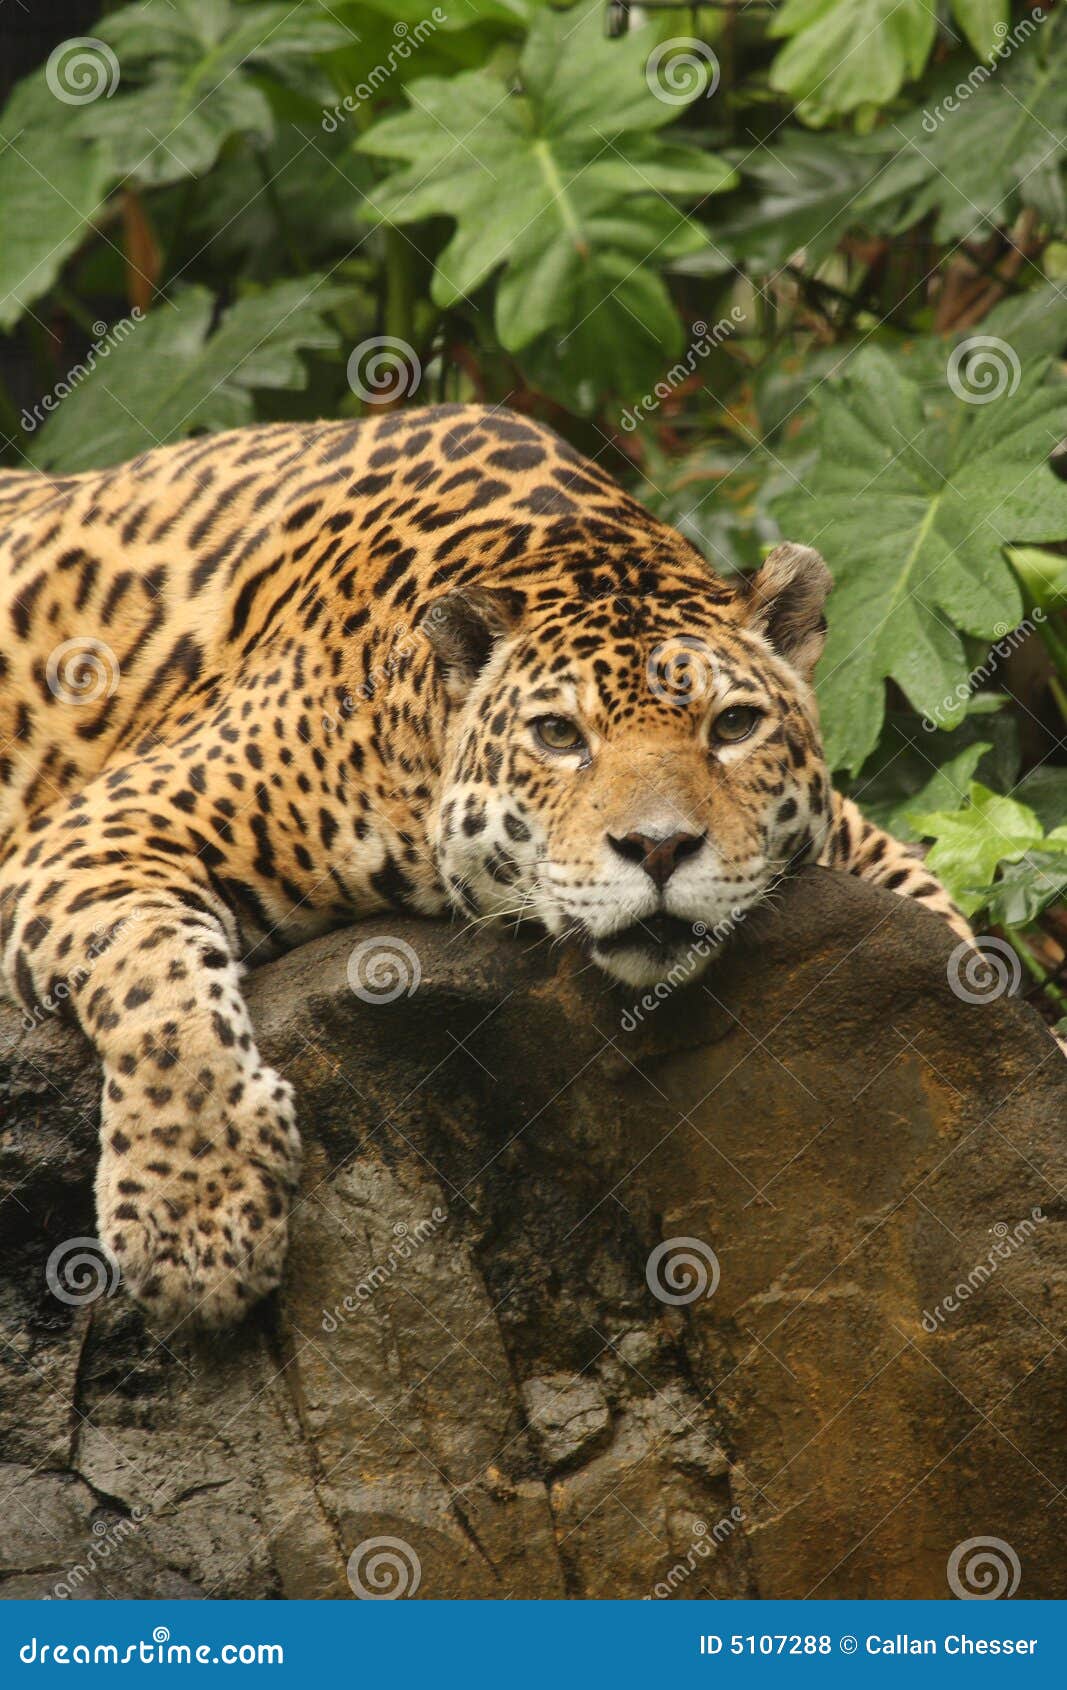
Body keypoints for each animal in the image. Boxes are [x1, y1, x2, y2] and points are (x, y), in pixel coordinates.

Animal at [0, 403, 973, 1330]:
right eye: (558, 735)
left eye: (733, 726)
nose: (659, 847)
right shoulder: (102, 828)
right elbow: (158, 996)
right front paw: (195, 1218)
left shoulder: (858, 836)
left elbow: (953, 931)